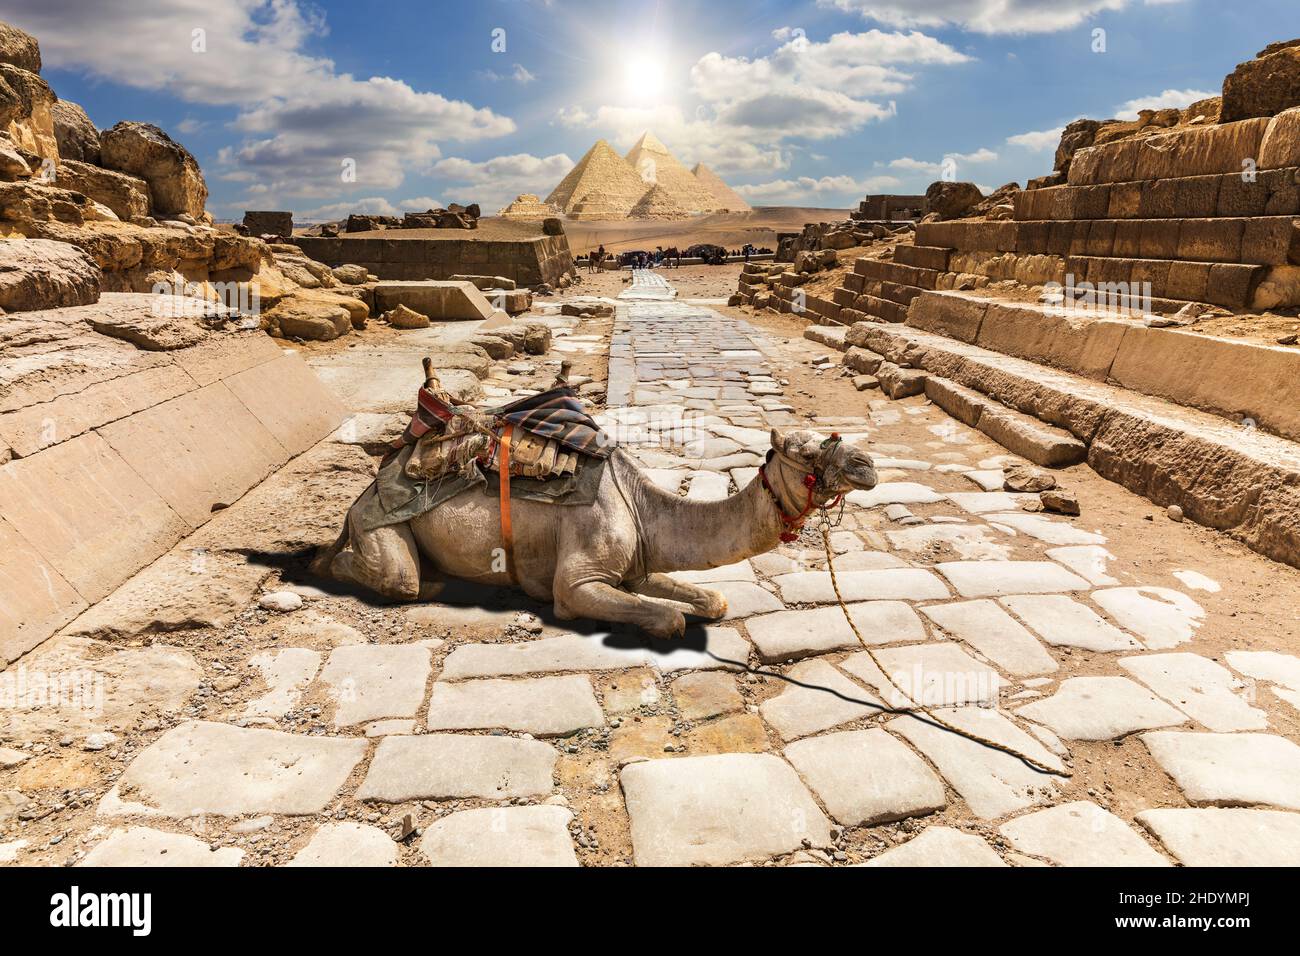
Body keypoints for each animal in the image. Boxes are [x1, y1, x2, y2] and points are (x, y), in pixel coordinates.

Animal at [312, 428, 878, 638]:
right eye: (806, 453)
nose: (867, 465)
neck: (639, 505)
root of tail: (364, 491)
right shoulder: (579, 580)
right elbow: (671, 618)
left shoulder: (637, 565)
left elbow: (712, 600)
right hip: (380, 523)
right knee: (390, 576)